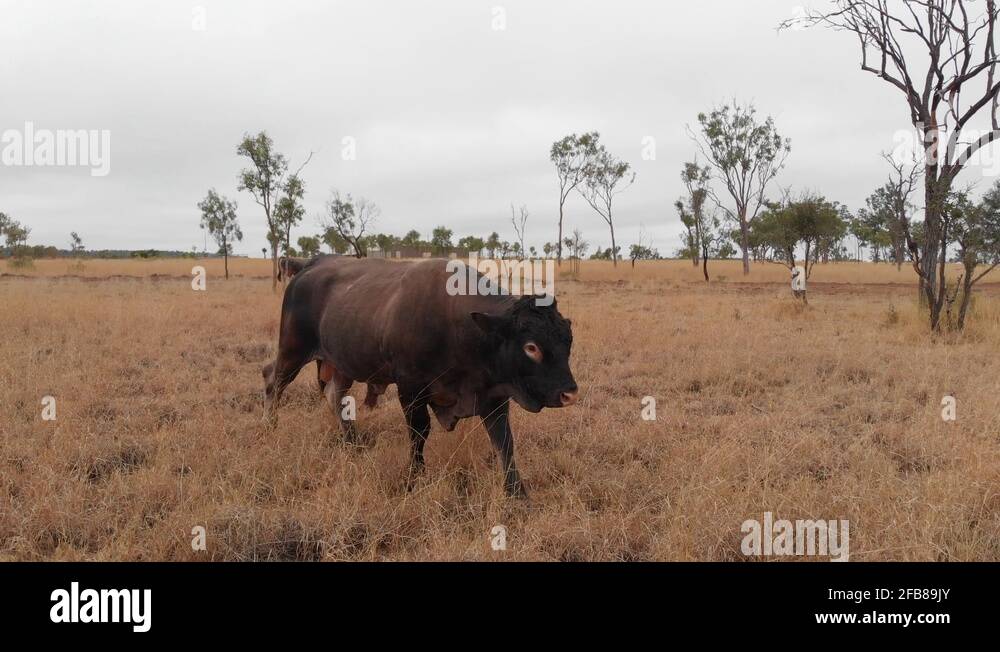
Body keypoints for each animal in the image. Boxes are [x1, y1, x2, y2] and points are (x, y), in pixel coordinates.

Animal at [262, 256, 579, 497]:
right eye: (531, 347)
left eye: (567, 339)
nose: (569, 393)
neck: (458, 327)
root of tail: (310, 265)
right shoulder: (410, 389)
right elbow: (419, 433)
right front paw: (414, 478)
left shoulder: (493, 397)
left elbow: (504, 443)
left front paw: (517, 494)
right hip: (292, 352)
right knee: (272, 382)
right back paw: (270, 426)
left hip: (339, 364)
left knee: (335, 396)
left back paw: (353, 442)